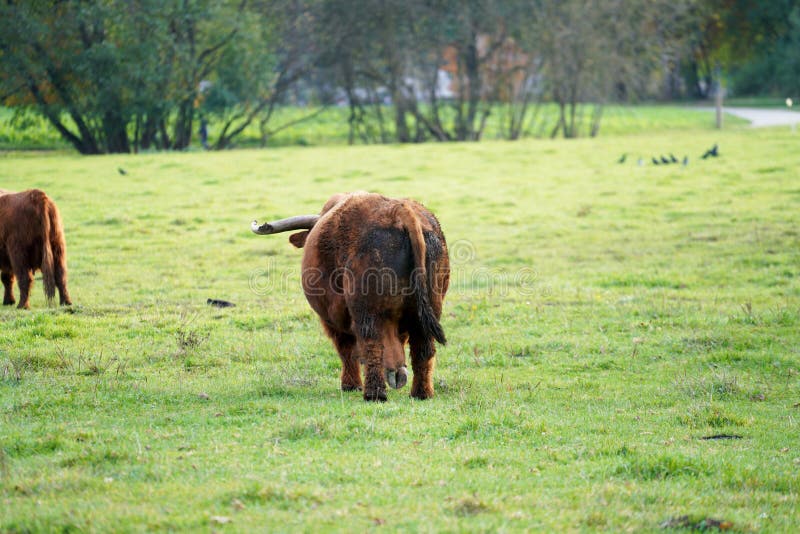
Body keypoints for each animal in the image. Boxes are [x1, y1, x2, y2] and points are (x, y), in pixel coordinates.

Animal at [252, 192, 449, 401]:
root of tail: (399, 210)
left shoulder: (334, 319)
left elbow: (346, 350)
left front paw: (350, 384)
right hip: (428, 310)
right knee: (423, 348)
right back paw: (421, 393)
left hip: (367, 312)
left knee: (372, 346)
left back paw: (374, 394)